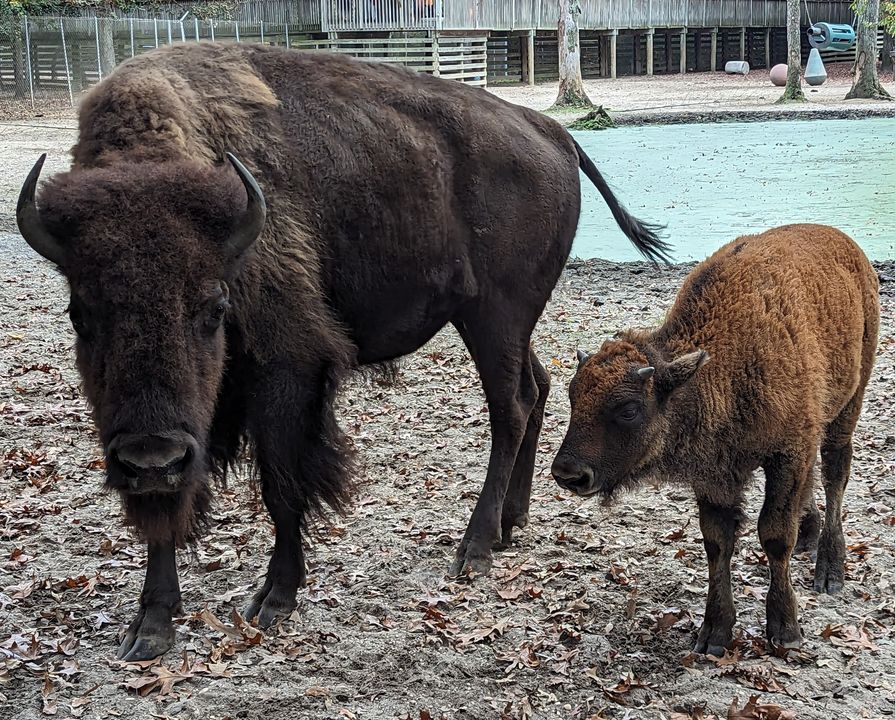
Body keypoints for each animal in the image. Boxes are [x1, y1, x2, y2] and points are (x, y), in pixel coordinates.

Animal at [17, 43, 669, 660]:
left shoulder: (287, 369)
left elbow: (282, 483)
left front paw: (275, 598)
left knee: (509, 406)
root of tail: (554, 132)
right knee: (537, 388)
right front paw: (150, 627)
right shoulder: (183, 426)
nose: (151, 456)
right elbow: (167, 507)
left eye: (213, 309)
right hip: (495, 322)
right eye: (80, 313)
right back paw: (511, 522)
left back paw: (475, 548)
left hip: (496, 317)